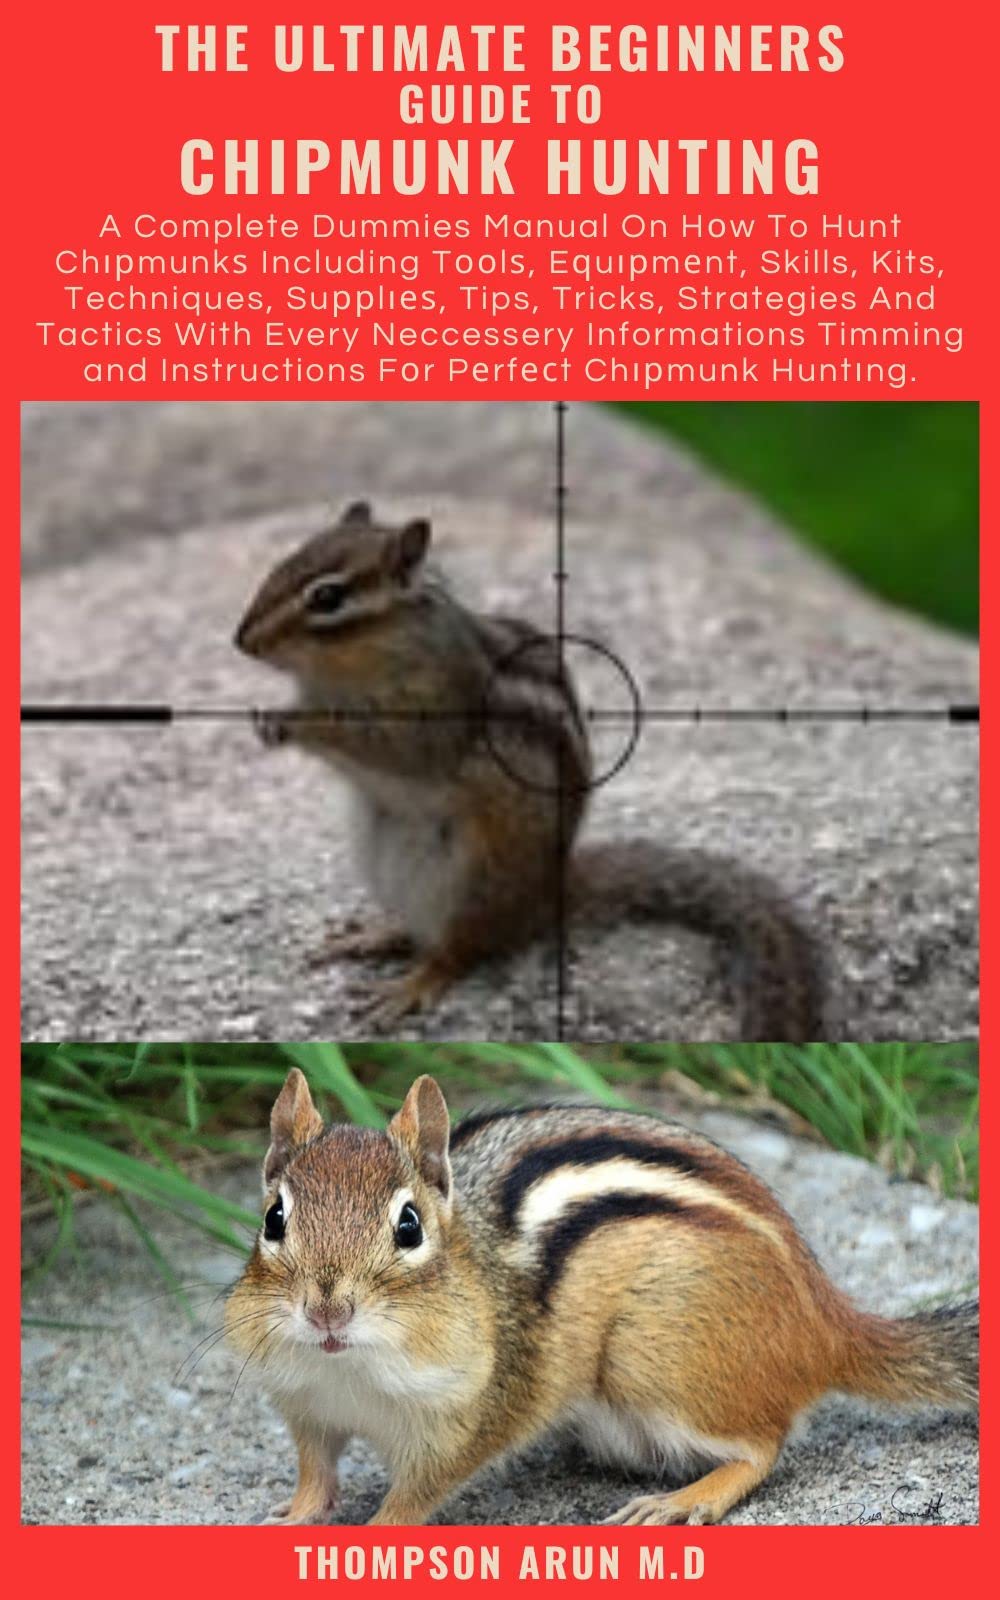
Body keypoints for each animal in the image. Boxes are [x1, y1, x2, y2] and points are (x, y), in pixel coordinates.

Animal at [225, 1070, 978, 1527]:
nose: (327, 1311)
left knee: (763, 1445)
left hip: (652, 1360)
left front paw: (376, 1526)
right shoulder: (307, 1407)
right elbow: (315, 1475)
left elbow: (414, 1498)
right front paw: (289, 1517)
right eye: (274, 1219)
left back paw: (680, 1501)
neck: (348, 1370)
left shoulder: (466, 1420)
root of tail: (825, 1318)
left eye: (408, 1226)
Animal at [234, 500, 825, 1038]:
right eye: (280, 565)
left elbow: (393, 745)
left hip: (475, 877)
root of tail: (549, 895)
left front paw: (293, 722)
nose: (242, 640)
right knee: (421, 930)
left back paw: (414, 983)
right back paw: (375, 935)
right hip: (380, 850)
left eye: (327, 597)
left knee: (461, 951)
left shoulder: (433, 712)